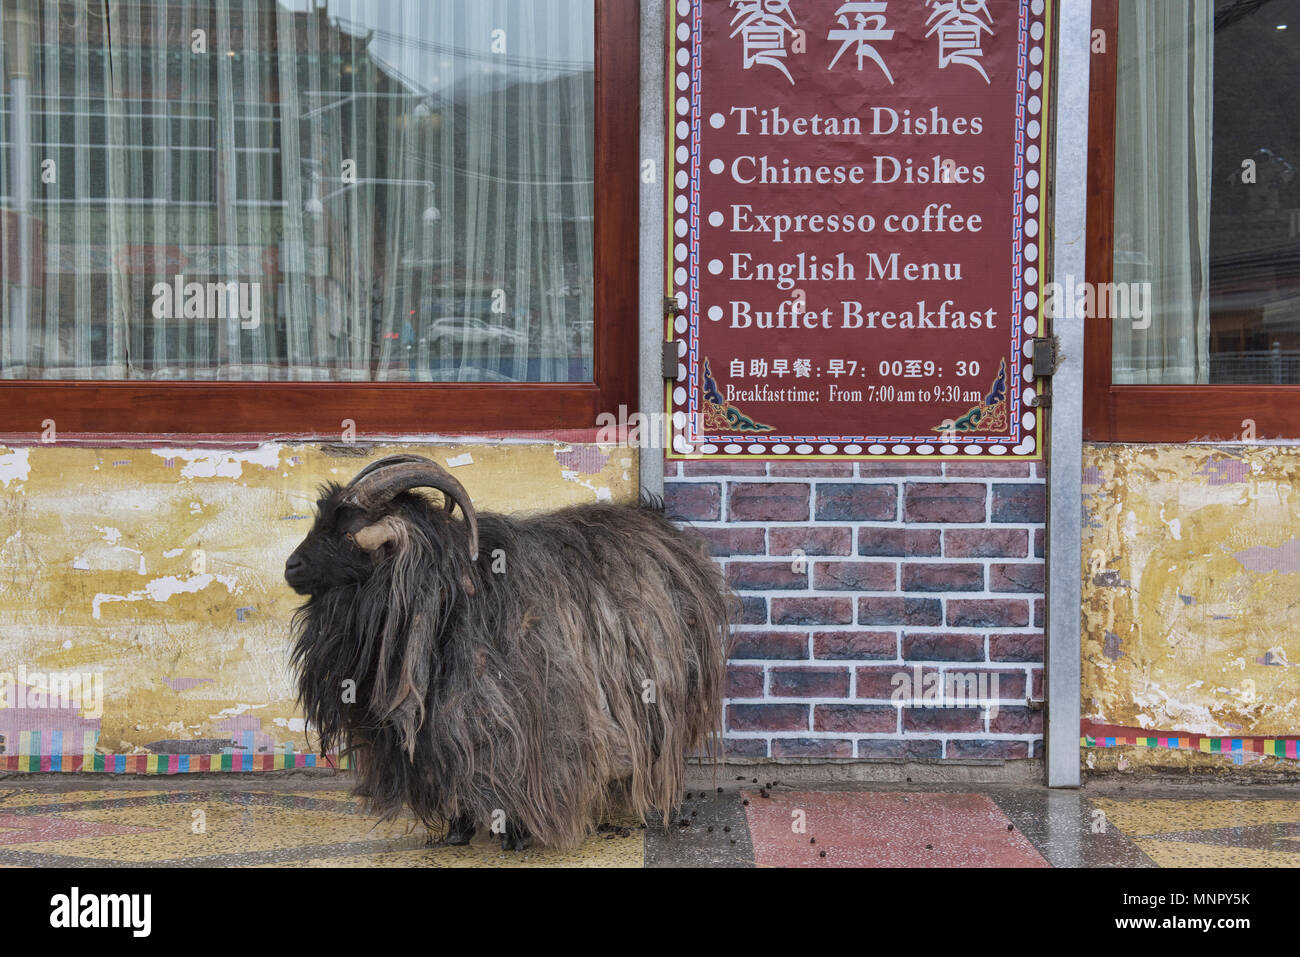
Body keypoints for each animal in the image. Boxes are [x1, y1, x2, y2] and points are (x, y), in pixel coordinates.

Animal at [285, 454, 732, 850]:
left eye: (348, 533)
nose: (291, 567)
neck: (449, 596)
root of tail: (662, 524)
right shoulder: (442, 719)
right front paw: (458, 829)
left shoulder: (512, 708)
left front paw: (515, 833)